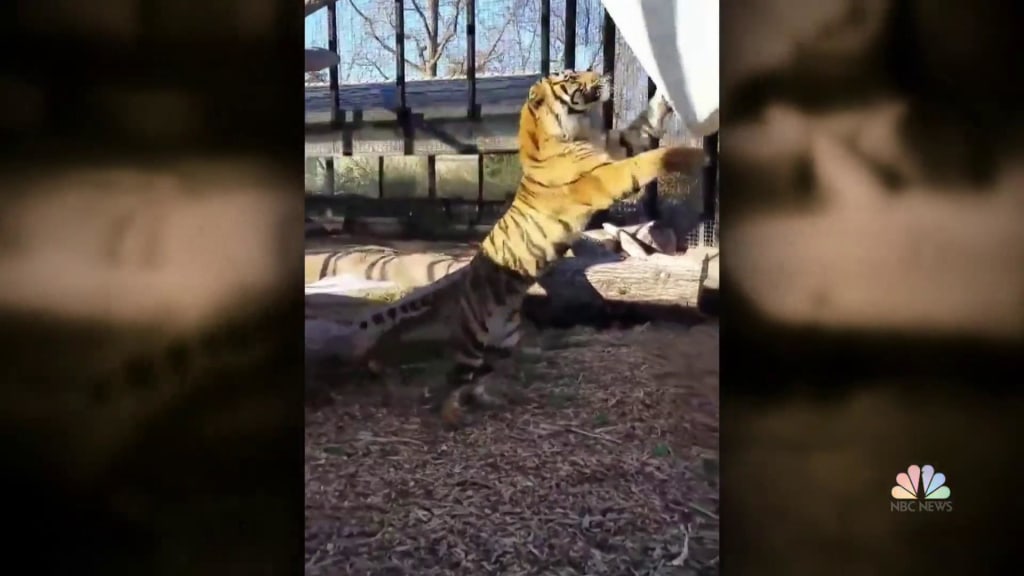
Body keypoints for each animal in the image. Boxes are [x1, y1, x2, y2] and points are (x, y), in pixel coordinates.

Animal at [326, 70, 706, 427]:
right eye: (571, 76)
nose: (601, 73)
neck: (571, 130)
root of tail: (465, 277)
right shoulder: (605, 174)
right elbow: (646, 160)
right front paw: (689, 154)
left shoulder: (617, 146)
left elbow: (642, 126)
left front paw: (665, 96)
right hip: (472, 338)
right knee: (454, 380)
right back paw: (451, 416)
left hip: (504, 341)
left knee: (479, 378)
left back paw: (488, 400)